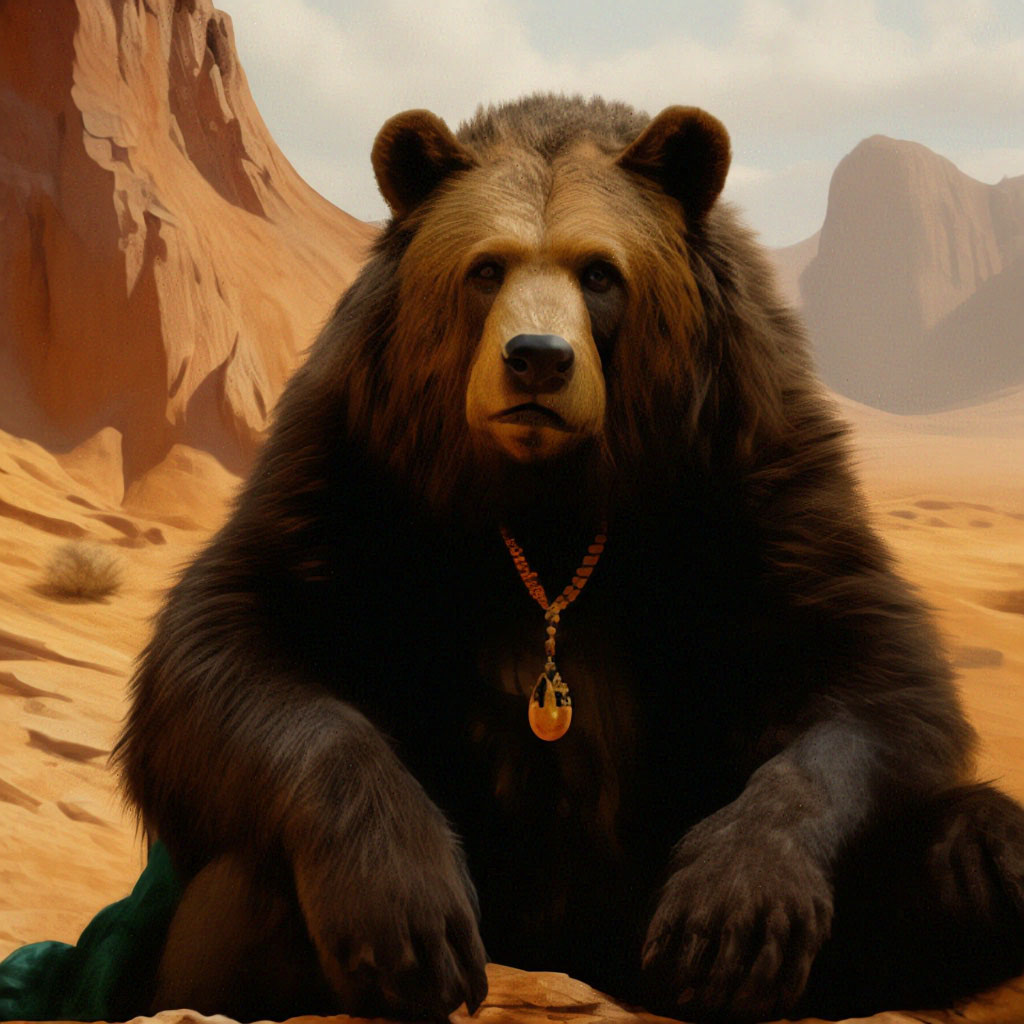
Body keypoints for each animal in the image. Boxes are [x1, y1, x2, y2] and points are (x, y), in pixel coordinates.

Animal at [114, 94, 1024, 1023]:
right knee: (246, 887)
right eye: (486, 268)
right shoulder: (351, 463)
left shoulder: (759, 472)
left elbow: (875, 674)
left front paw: (734, 909)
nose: (538, 360)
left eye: (600, 273)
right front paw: (404, 903)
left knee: (979, 847)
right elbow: (228, 644)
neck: (550, 494)